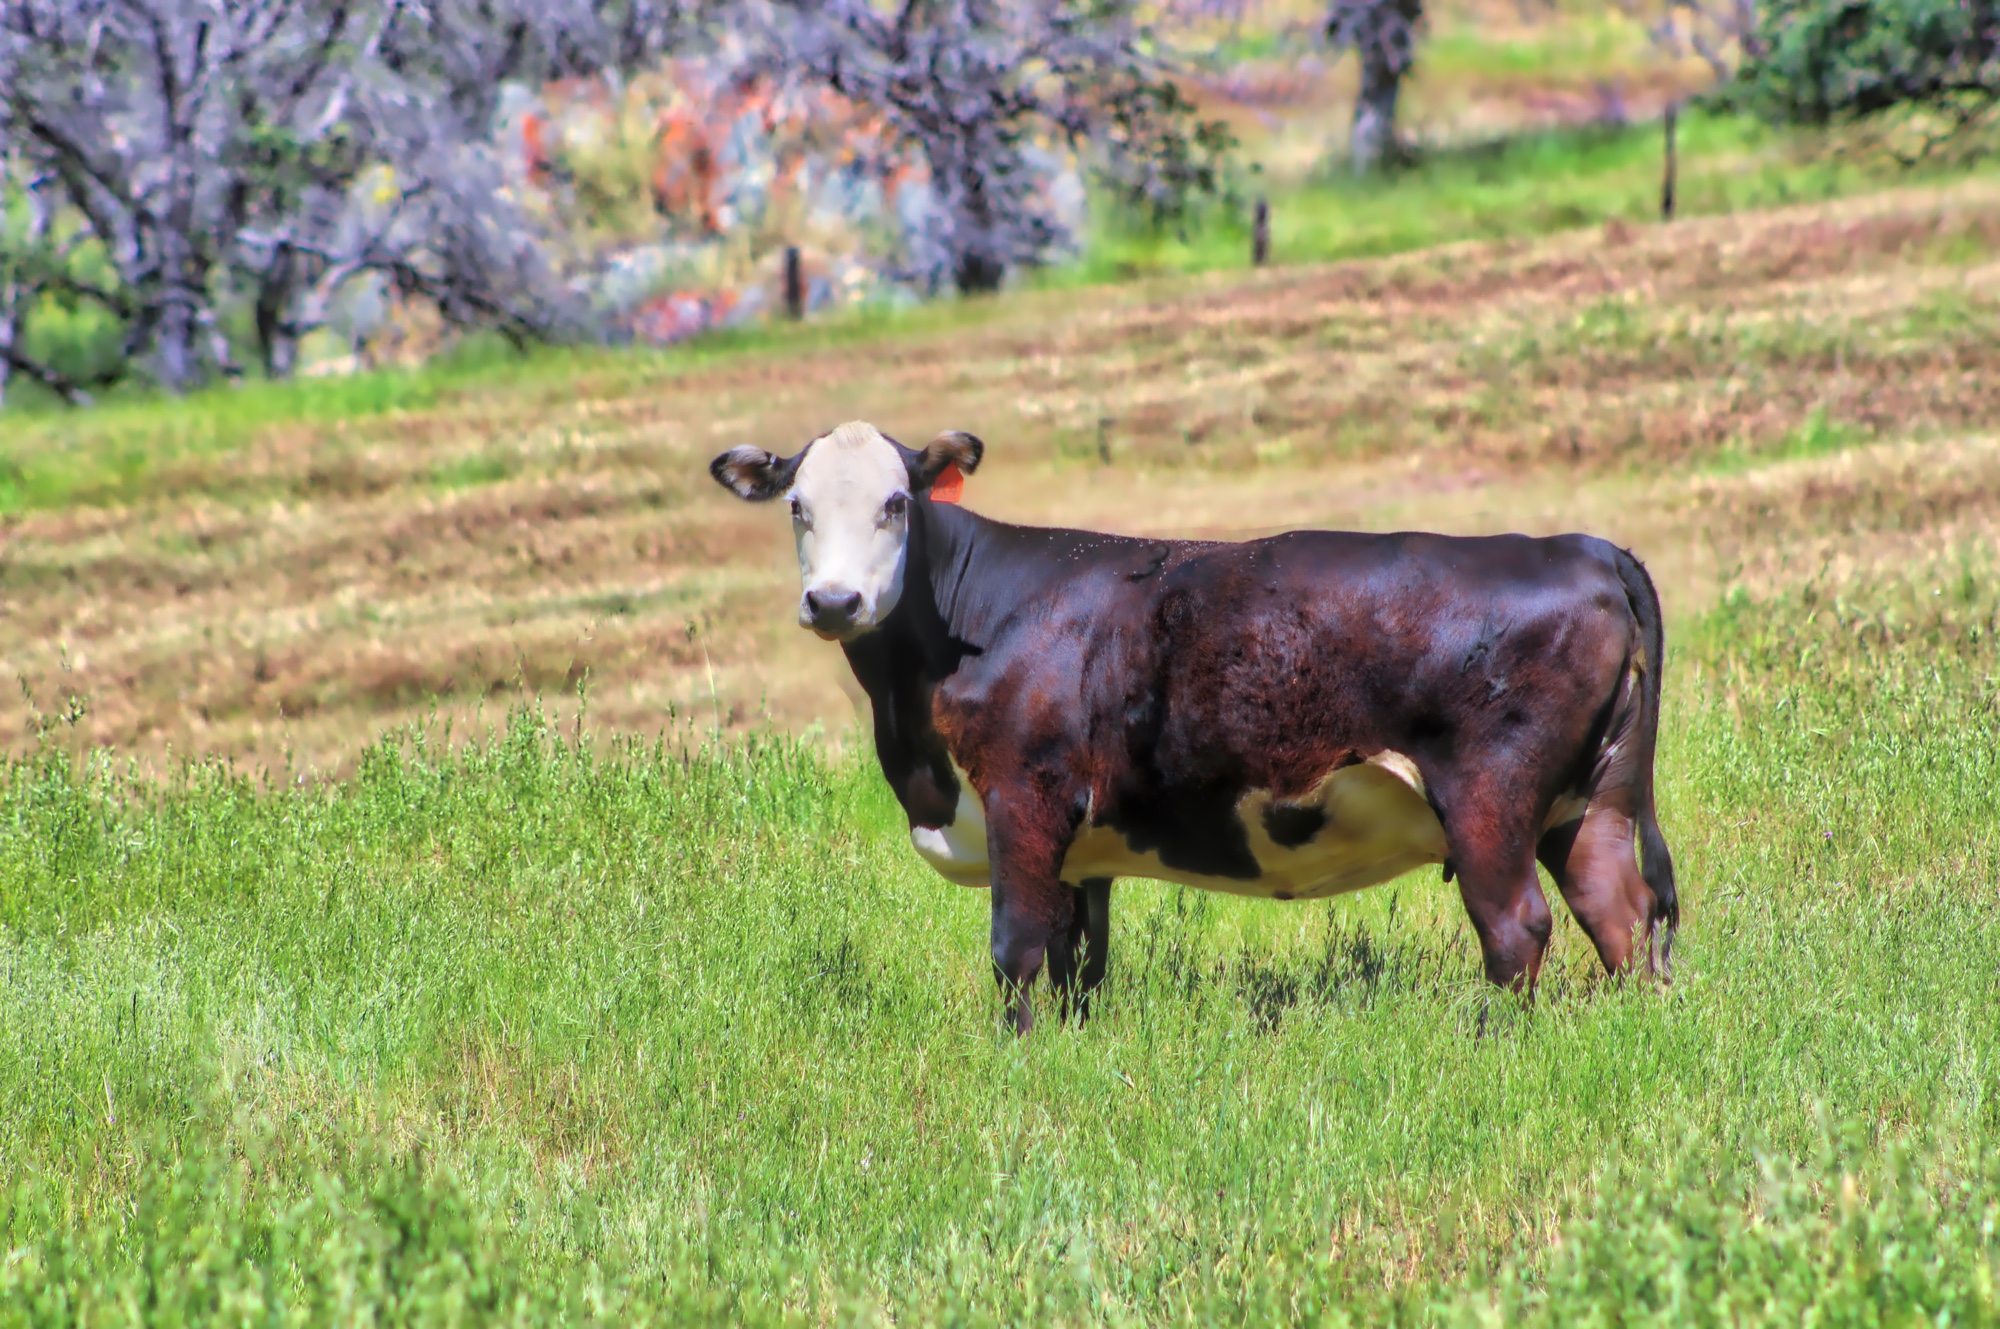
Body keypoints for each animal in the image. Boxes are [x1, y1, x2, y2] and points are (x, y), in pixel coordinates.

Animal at [712, 421, 1678, 1033]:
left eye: (897, 503)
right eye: (796, 506)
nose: (835, 601)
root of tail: (1577, 544)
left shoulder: (1025, 795)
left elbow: (1016, 948)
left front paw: (1017, 1058)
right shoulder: (1082, 847)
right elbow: (1078, 962)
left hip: (1491, 796)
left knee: (1517, 928)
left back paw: (1491, 1045)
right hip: (1591, 800)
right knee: (1621, 913)